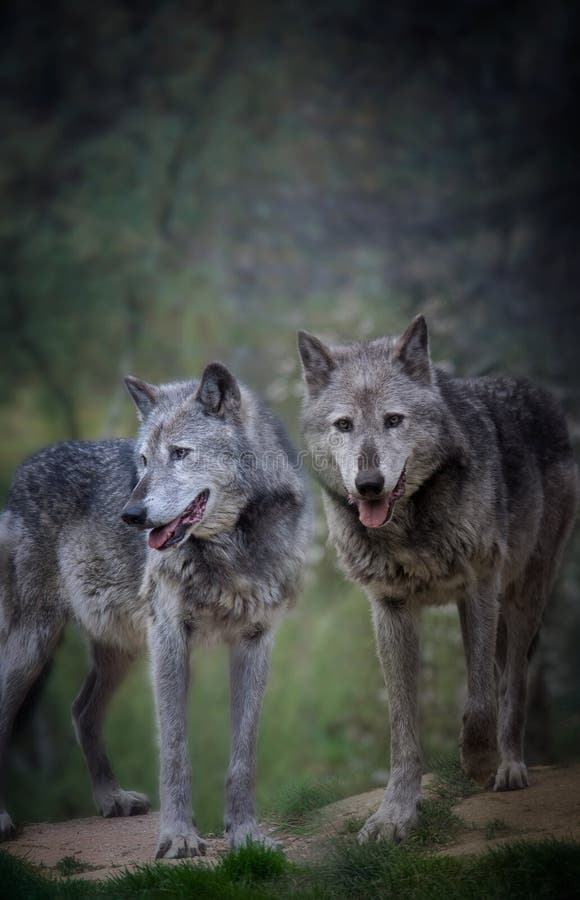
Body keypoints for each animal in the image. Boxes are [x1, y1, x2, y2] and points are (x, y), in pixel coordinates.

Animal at [0, 362, 311, 858]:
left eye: (181, 453)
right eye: (144, 461)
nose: (130, 514)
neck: (231, 549)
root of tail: (23, 469)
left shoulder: (256, 640)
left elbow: (244, 755)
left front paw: (245, 834)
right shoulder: (169, 637)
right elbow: (175, 747)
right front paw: (179, 836)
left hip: (120, 650)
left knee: (81, 710)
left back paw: (111, 799)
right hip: (34, 642)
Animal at [298, 315, 577, 844]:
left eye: (393, 420)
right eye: (344, 425)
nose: (369, 485)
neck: (409, 526)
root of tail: (540, 395)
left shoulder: (479, 589)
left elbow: (480, 702)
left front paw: (480, 761)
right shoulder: (390, 607)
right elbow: (403, 727)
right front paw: (394, 814)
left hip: (524, 598)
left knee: (513, 683)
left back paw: (509, 766)